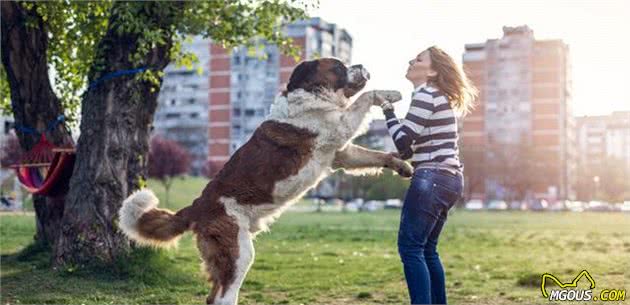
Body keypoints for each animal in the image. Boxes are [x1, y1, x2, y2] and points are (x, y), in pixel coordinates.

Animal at [118, 57, 414, 304]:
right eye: (339, 67)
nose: (361, 64)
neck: (312, 95)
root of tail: (197, 206)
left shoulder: (340, 153)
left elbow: (373, 155)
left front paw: (402, 164)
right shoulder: (339, 127)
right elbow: (365, 96)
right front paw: (391, 93)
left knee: (213, 296)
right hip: (238, 252)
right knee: (223, 295)